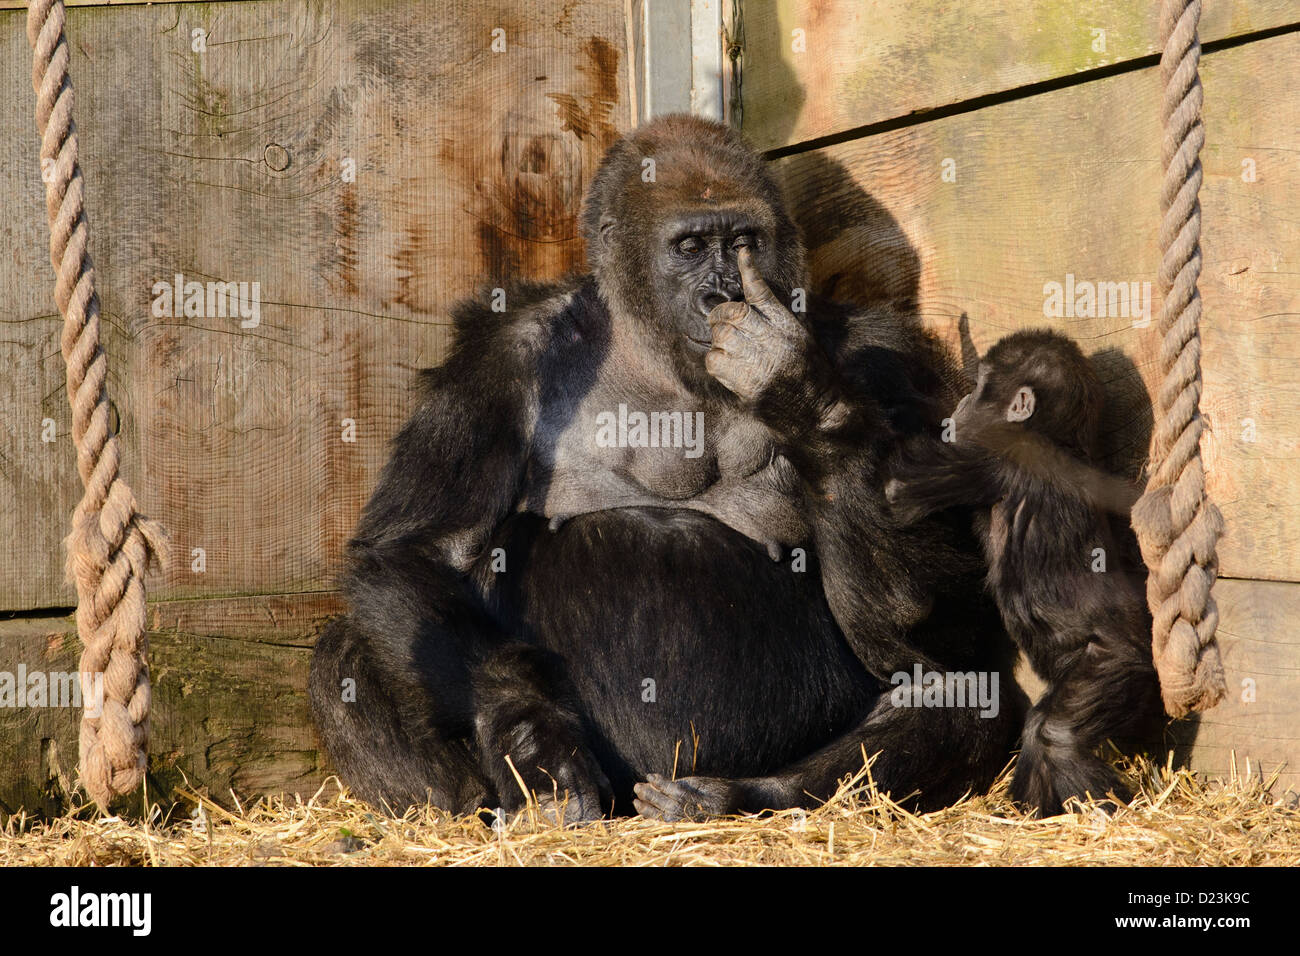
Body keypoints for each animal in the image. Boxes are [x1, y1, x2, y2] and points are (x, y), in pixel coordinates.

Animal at [885, 328, 1165, 815]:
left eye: (981, 387)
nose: (963, 401)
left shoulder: (992, 458)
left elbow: (900, 487)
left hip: (1114, 665)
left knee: (1058, 735)